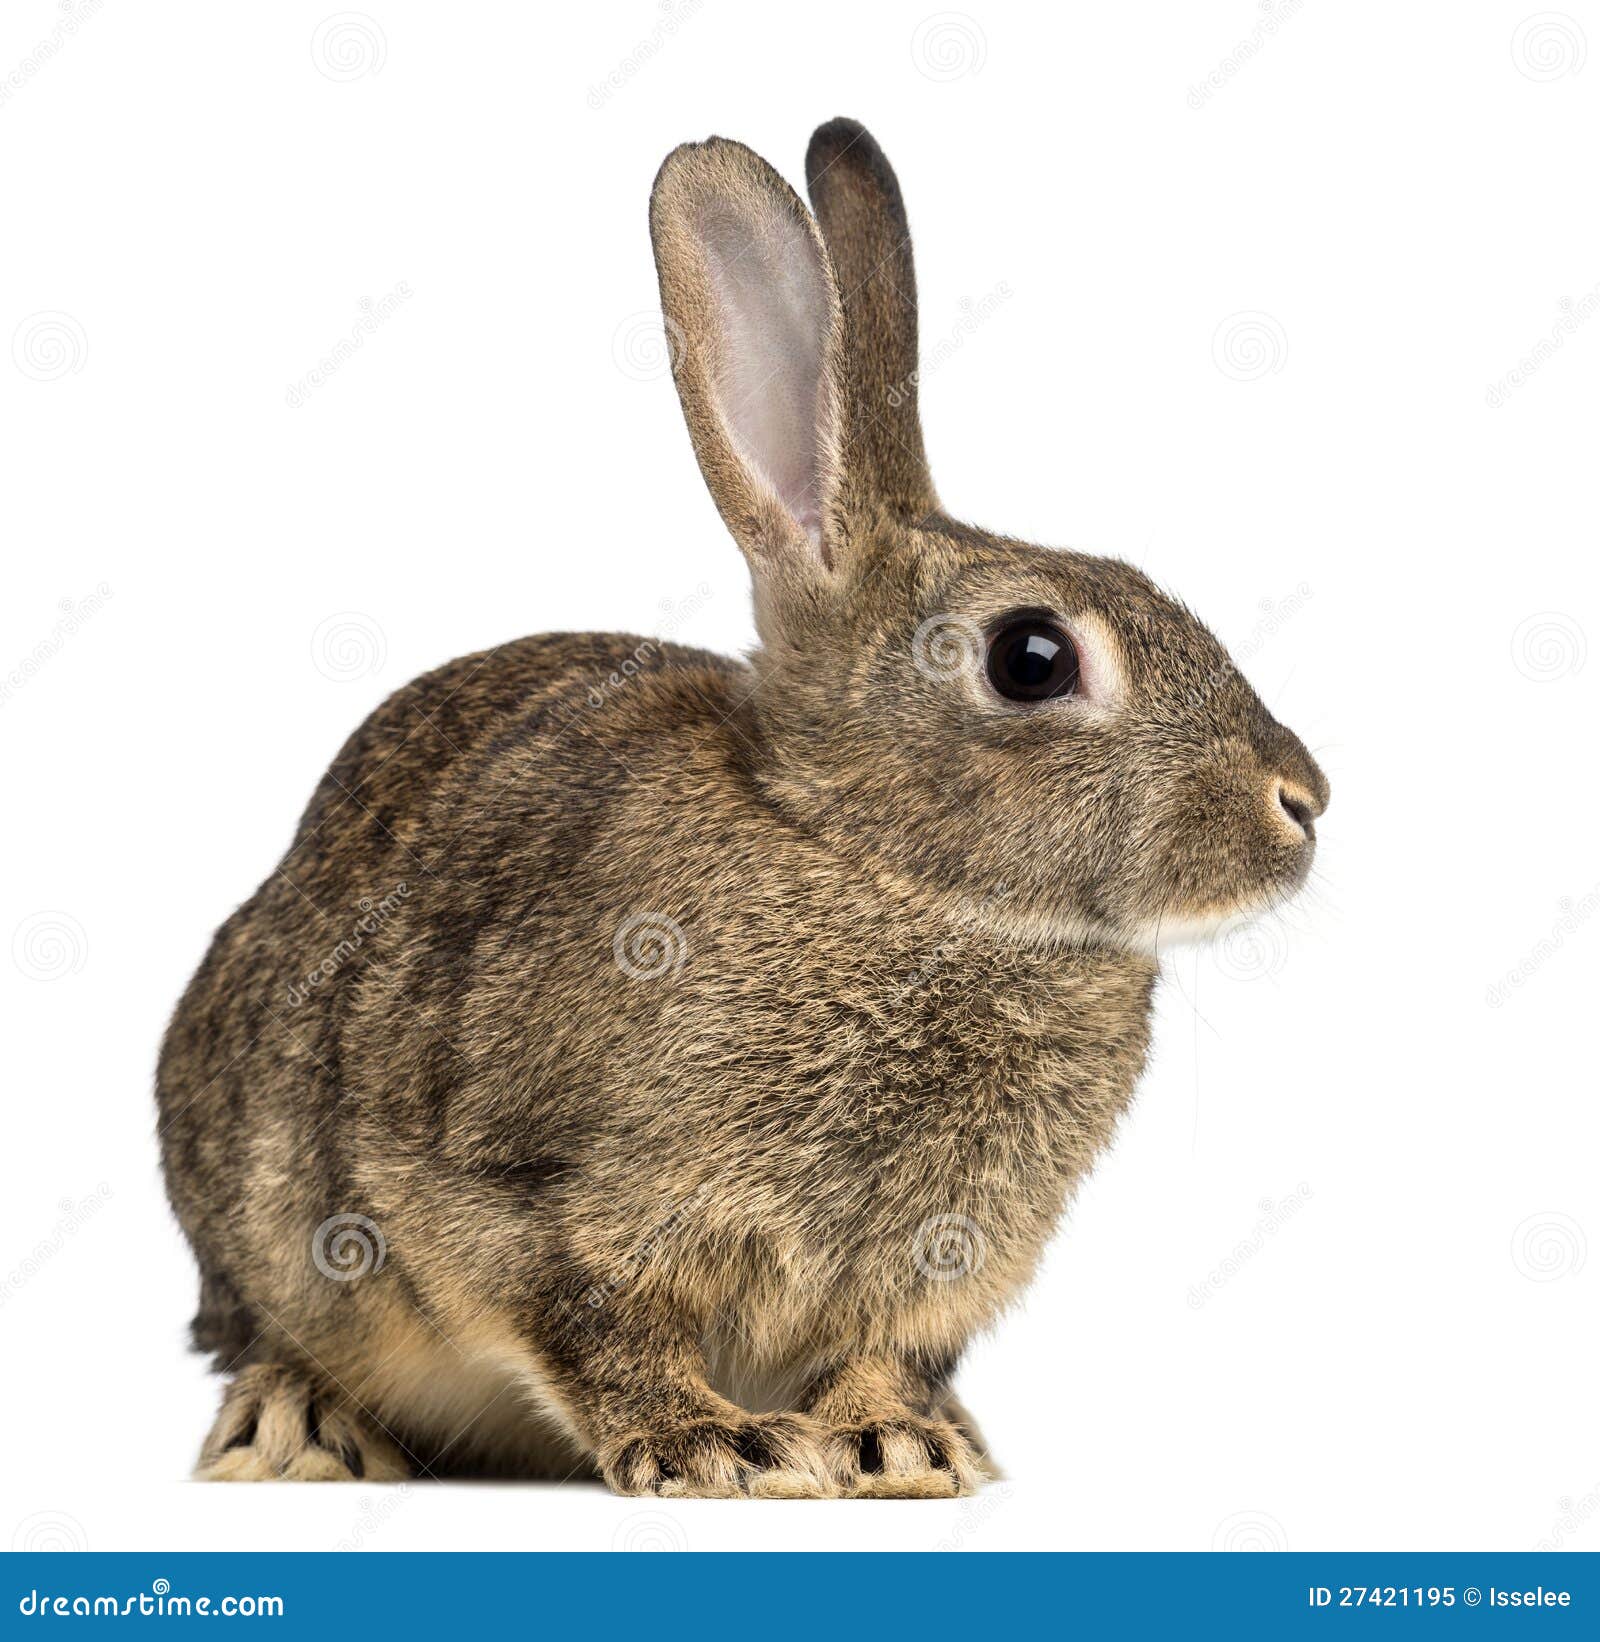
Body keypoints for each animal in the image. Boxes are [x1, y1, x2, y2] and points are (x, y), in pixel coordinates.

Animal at [157, 116, 1328, 1498]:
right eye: (1031, 657)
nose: (1303, 801)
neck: (868, 861)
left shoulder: (929, 1273)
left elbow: (881, 1356)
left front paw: (897, 1448)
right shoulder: (523, 1186)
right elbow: (593, 1319)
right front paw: (705, 1445)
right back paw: (295, 1426)